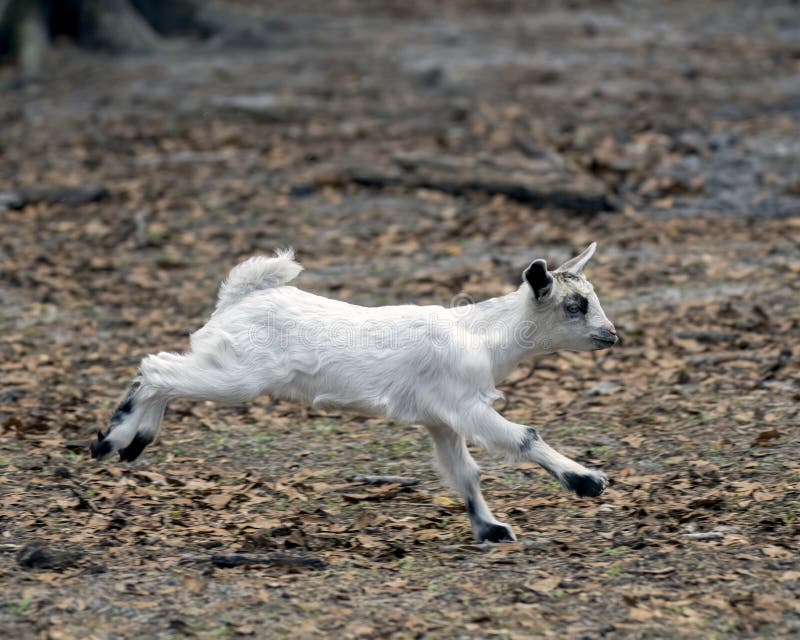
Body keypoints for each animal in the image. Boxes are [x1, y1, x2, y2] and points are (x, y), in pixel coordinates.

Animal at [92, 243, 617, 542]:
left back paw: (130, 440)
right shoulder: (464, 404)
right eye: (575, 305)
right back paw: (117, 438)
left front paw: (490, 529)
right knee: (157, 369)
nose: (611, 335)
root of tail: (240, 297)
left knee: (162, 370)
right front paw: (587, 481)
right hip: (236, 375)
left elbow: (463, 472)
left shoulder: (442, 417)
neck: (482, 334)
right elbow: (523, 437)